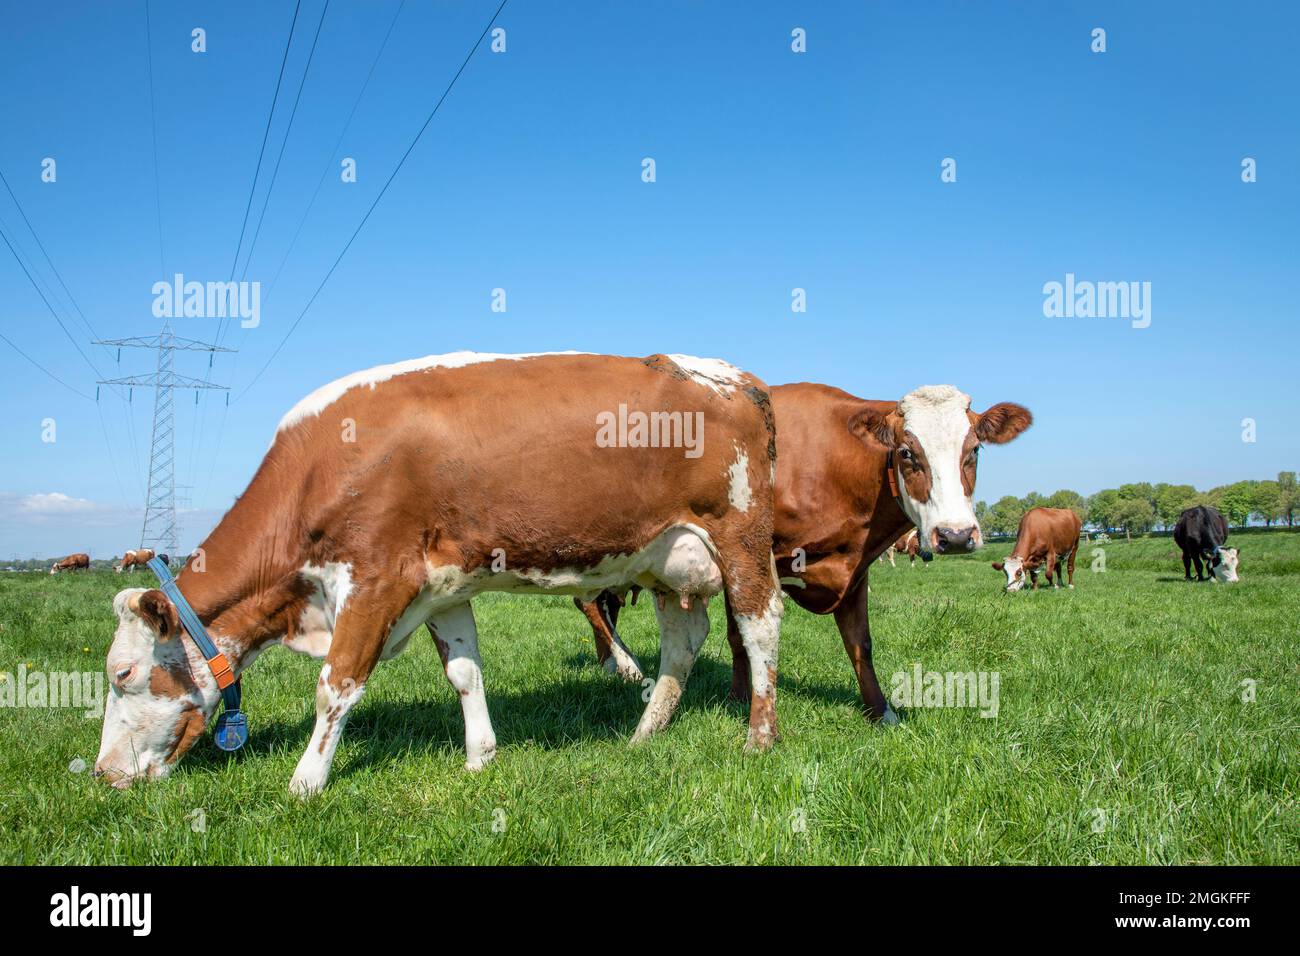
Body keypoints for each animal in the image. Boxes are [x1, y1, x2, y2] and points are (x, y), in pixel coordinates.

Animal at [93, 352, 784, 795]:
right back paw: (643, 734)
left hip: (740, 536)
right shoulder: (442, 588)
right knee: (682, 644)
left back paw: (759, 739)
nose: (101, 773)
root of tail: (742, 380)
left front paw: (305, 782)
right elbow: (464, 673)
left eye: (123, 674)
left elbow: (335, 685)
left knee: (761, 627)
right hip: (667, 560)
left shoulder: (375, 580)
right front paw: (480, 757)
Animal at [578, 382, 1032, 723]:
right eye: (907, 452)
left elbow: (860, 642)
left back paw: (609, 664)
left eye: (974, 450)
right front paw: (740, 697)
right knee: (590, 604)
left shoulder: (857, 566)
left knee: (605, 606)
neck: (837, 464)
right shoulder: (747, 554)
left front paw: (880, 711)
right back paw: (625, 665)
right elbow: (740, 634)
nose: (955, 536)